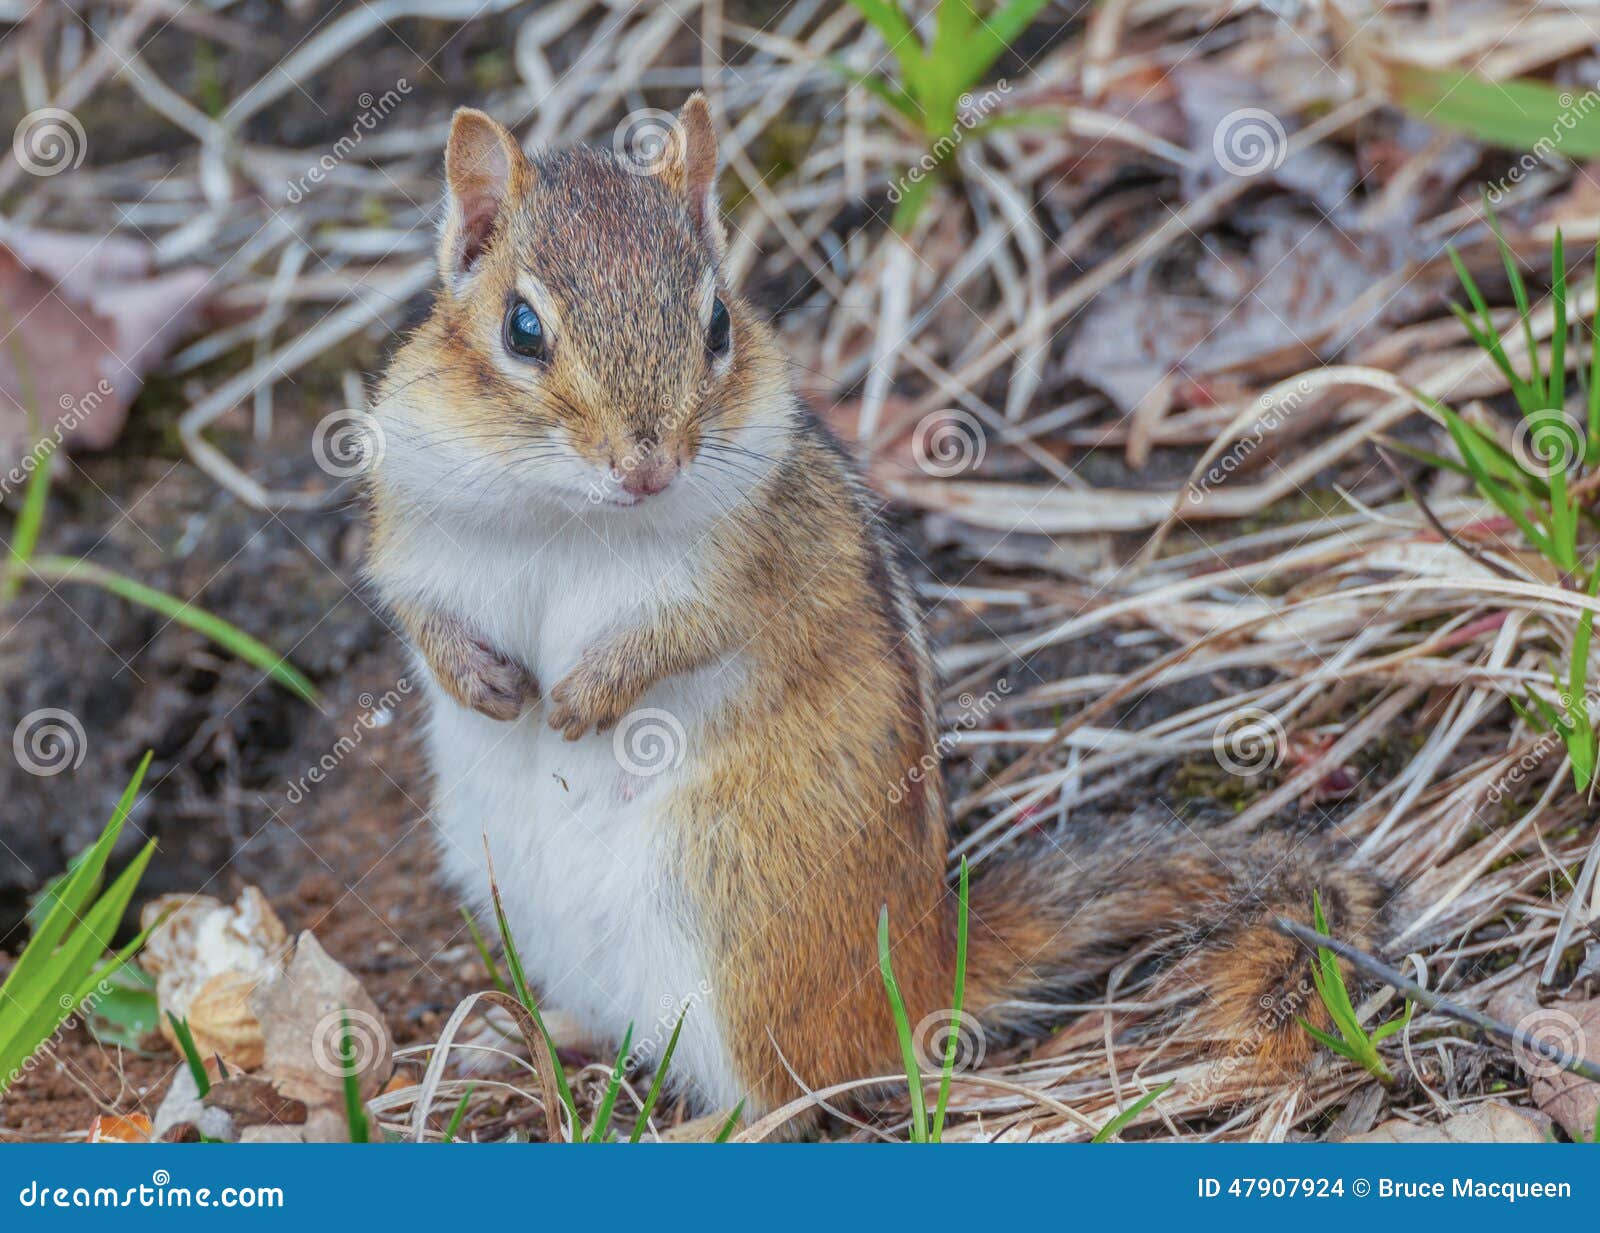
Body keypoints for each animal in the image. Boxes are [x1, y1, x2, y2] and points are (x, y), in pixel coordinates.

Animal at [365, 94, 1385, 1126]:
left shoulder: (737, 571)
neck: (569, 512)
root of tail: (930, 963)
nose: (646, 466)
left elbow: (682, 636)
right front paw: (479, 678)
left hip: (728, 915)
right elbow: (413, 607)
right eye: (522, 328)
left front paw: (582, 698)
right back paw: (522, 1036)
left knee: (790, 1093)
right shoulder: (413, 525)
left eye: (719, 324)